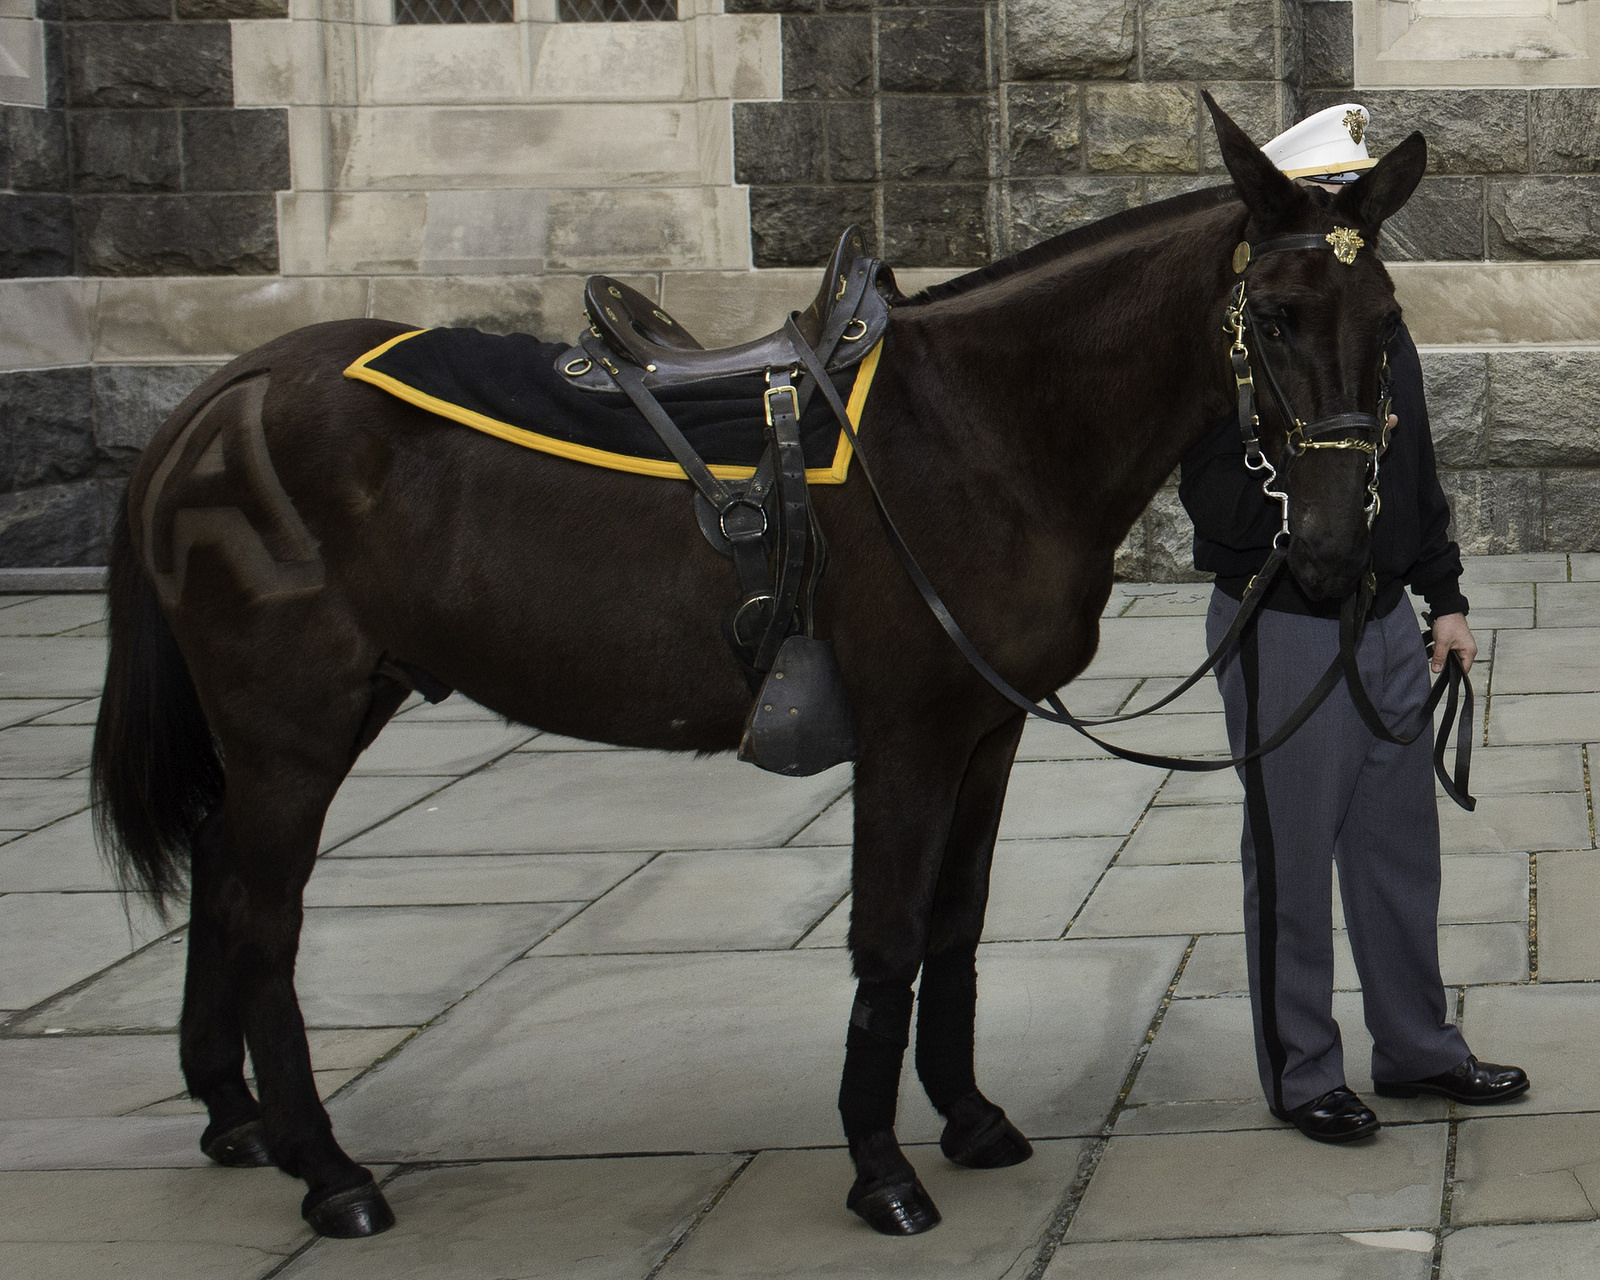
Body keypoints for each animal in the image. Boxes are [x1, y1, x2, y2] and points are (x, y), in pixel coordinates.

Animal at [89, 98, 1426, 1240]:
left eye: (1386, 322)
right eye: (1277, 315)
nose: (1332, 551)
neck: (985, 424)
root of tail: (226, 389)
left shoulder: (984, 729)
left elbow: (957, 921)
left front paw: (969, 1117)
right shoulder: (906, 733)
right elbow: (887, 934)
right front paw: (880, 1167)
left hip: (320, 709)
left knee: (221, 873)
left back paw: (236, 1113)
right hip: (291, 723)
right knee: (264, 912)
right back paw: (329, 1169)